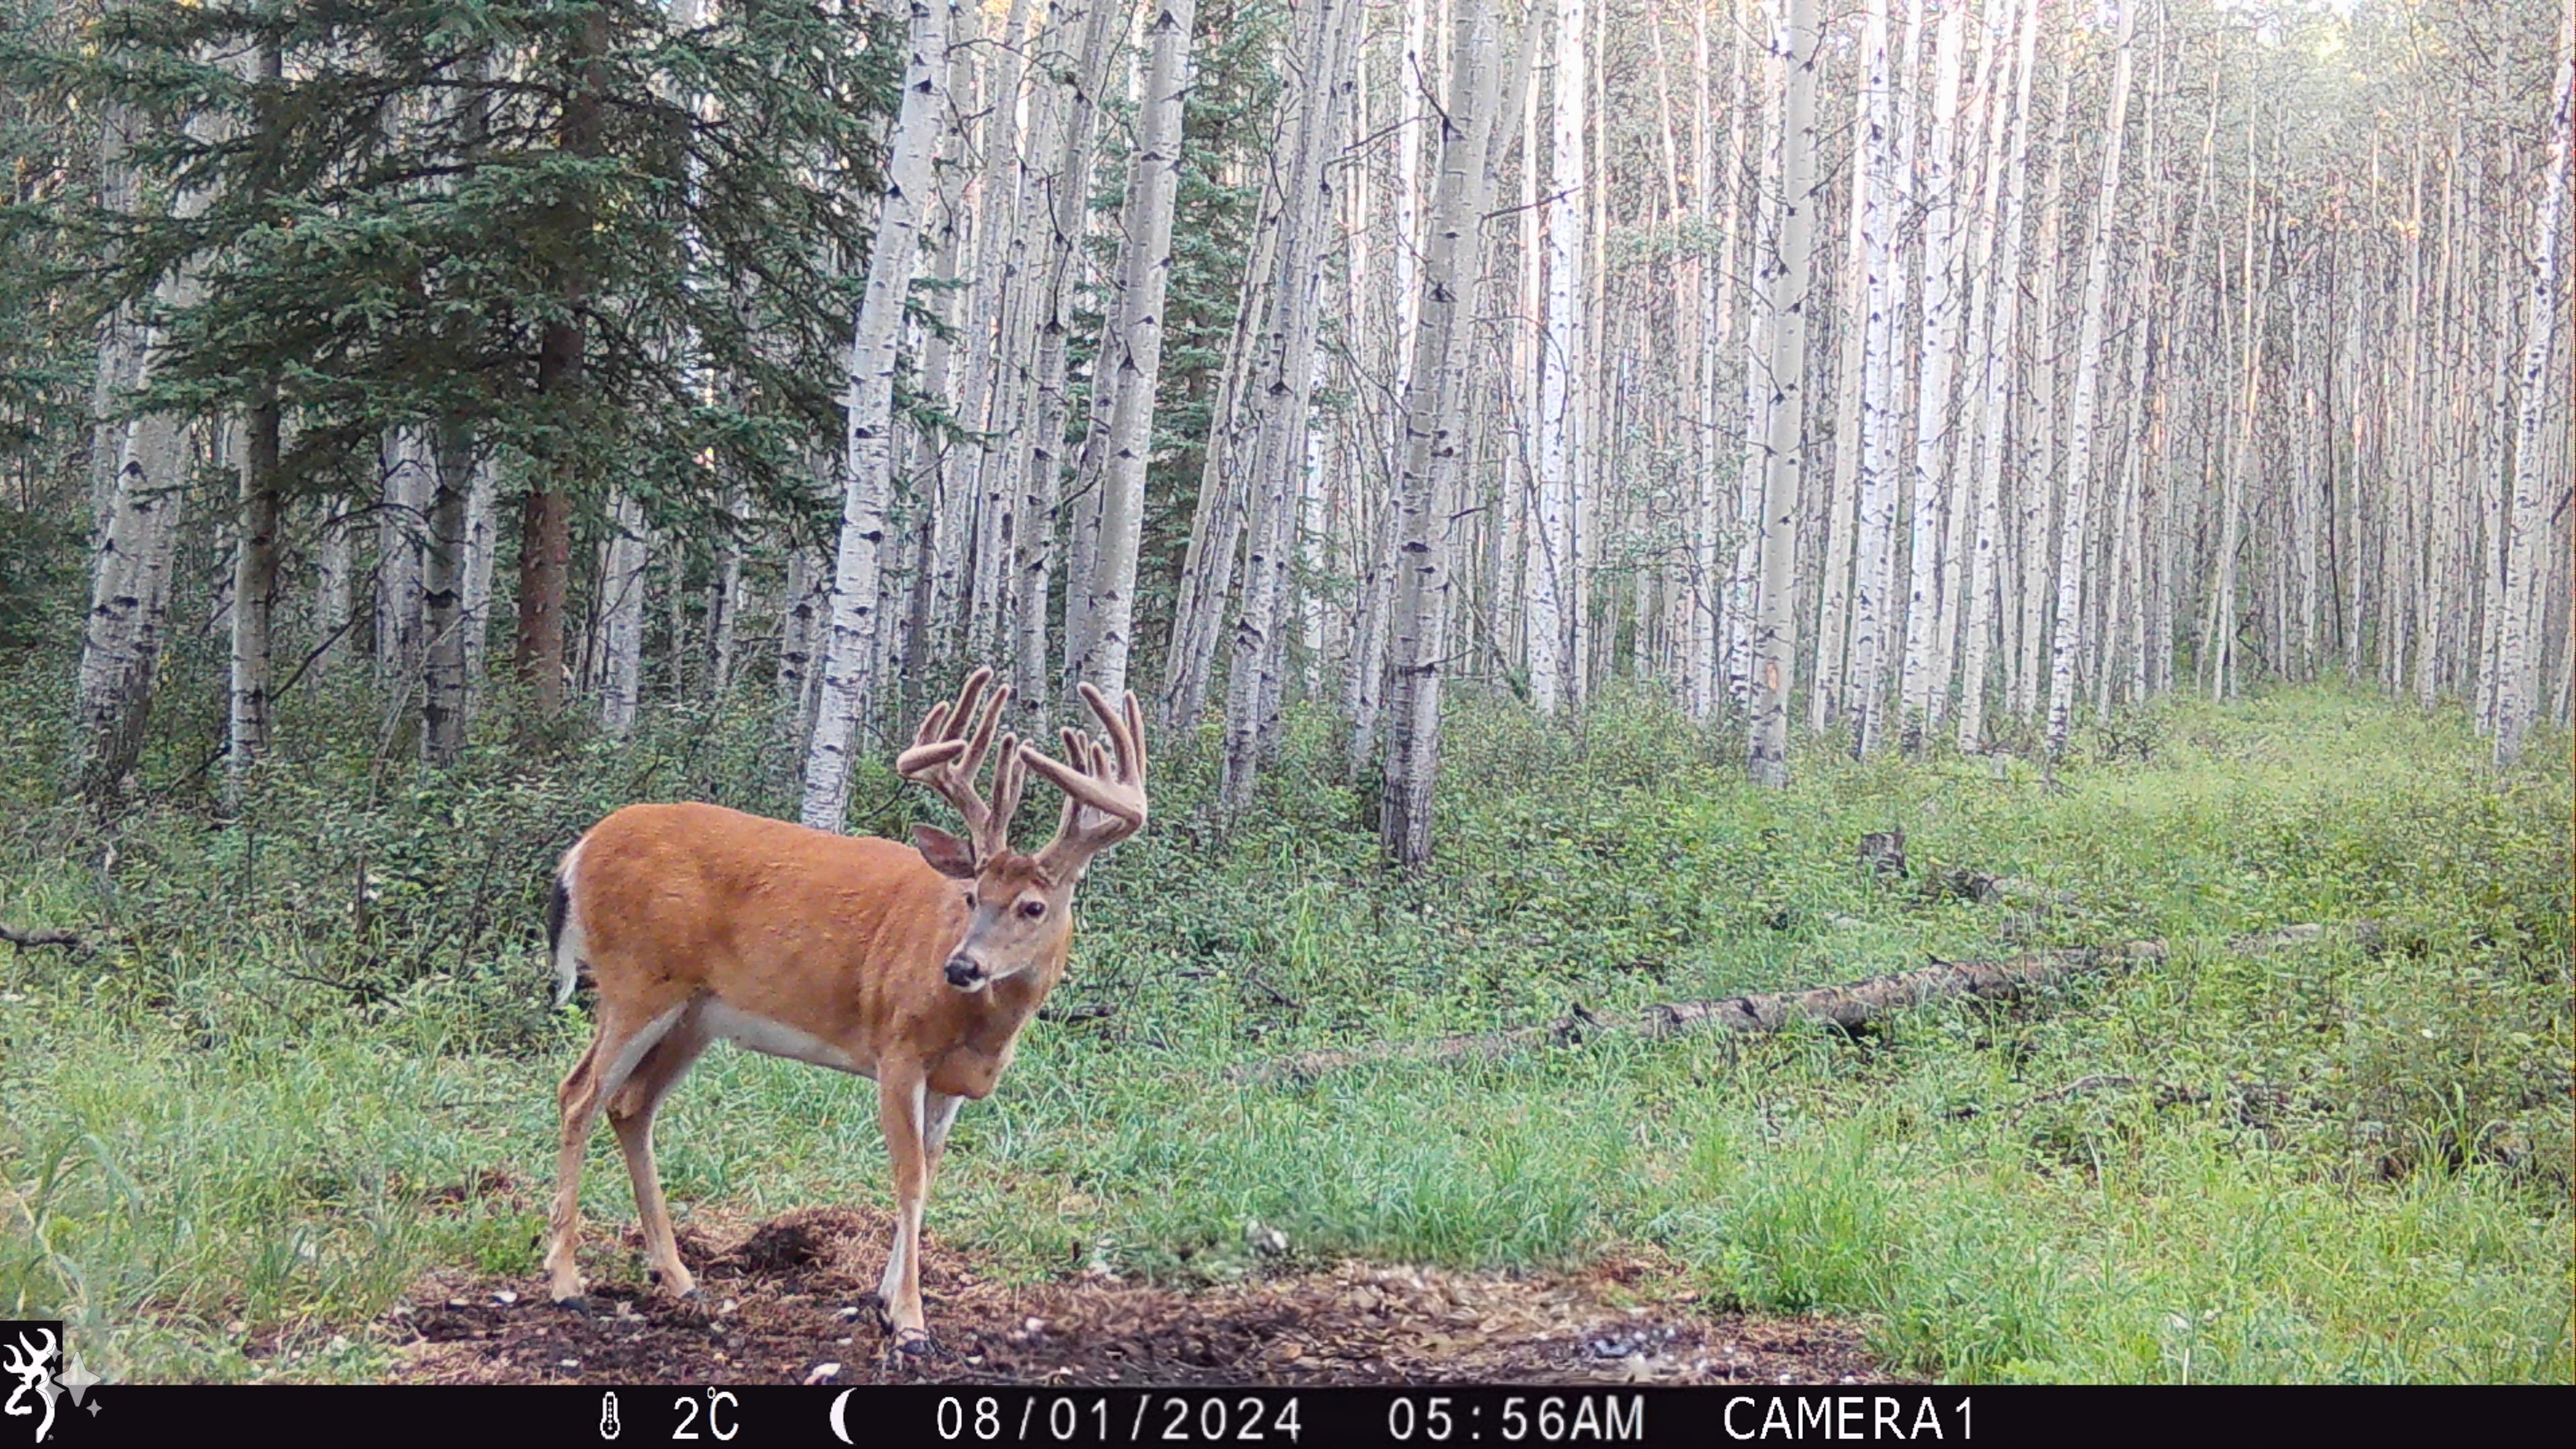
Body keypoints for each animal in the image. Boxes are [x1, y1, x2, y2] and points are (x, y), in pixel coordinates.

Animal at [537, 668, 1147, 1352]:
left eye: (1033, 907)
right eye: (972, 895)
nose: (961, 967)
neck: (982, 1031)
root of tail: (580, 851)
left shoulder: (951, 1083)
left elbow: (932, 1171)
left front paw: (885, 1298)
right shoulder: (897, 1048)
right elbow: (910, 1177)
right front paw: (909, 1321)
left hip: (695, 1015)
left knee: (630, 1106)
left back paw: (679, 1278)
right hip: (637, 981)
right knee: (579, 1093)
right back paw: (566, 1282)